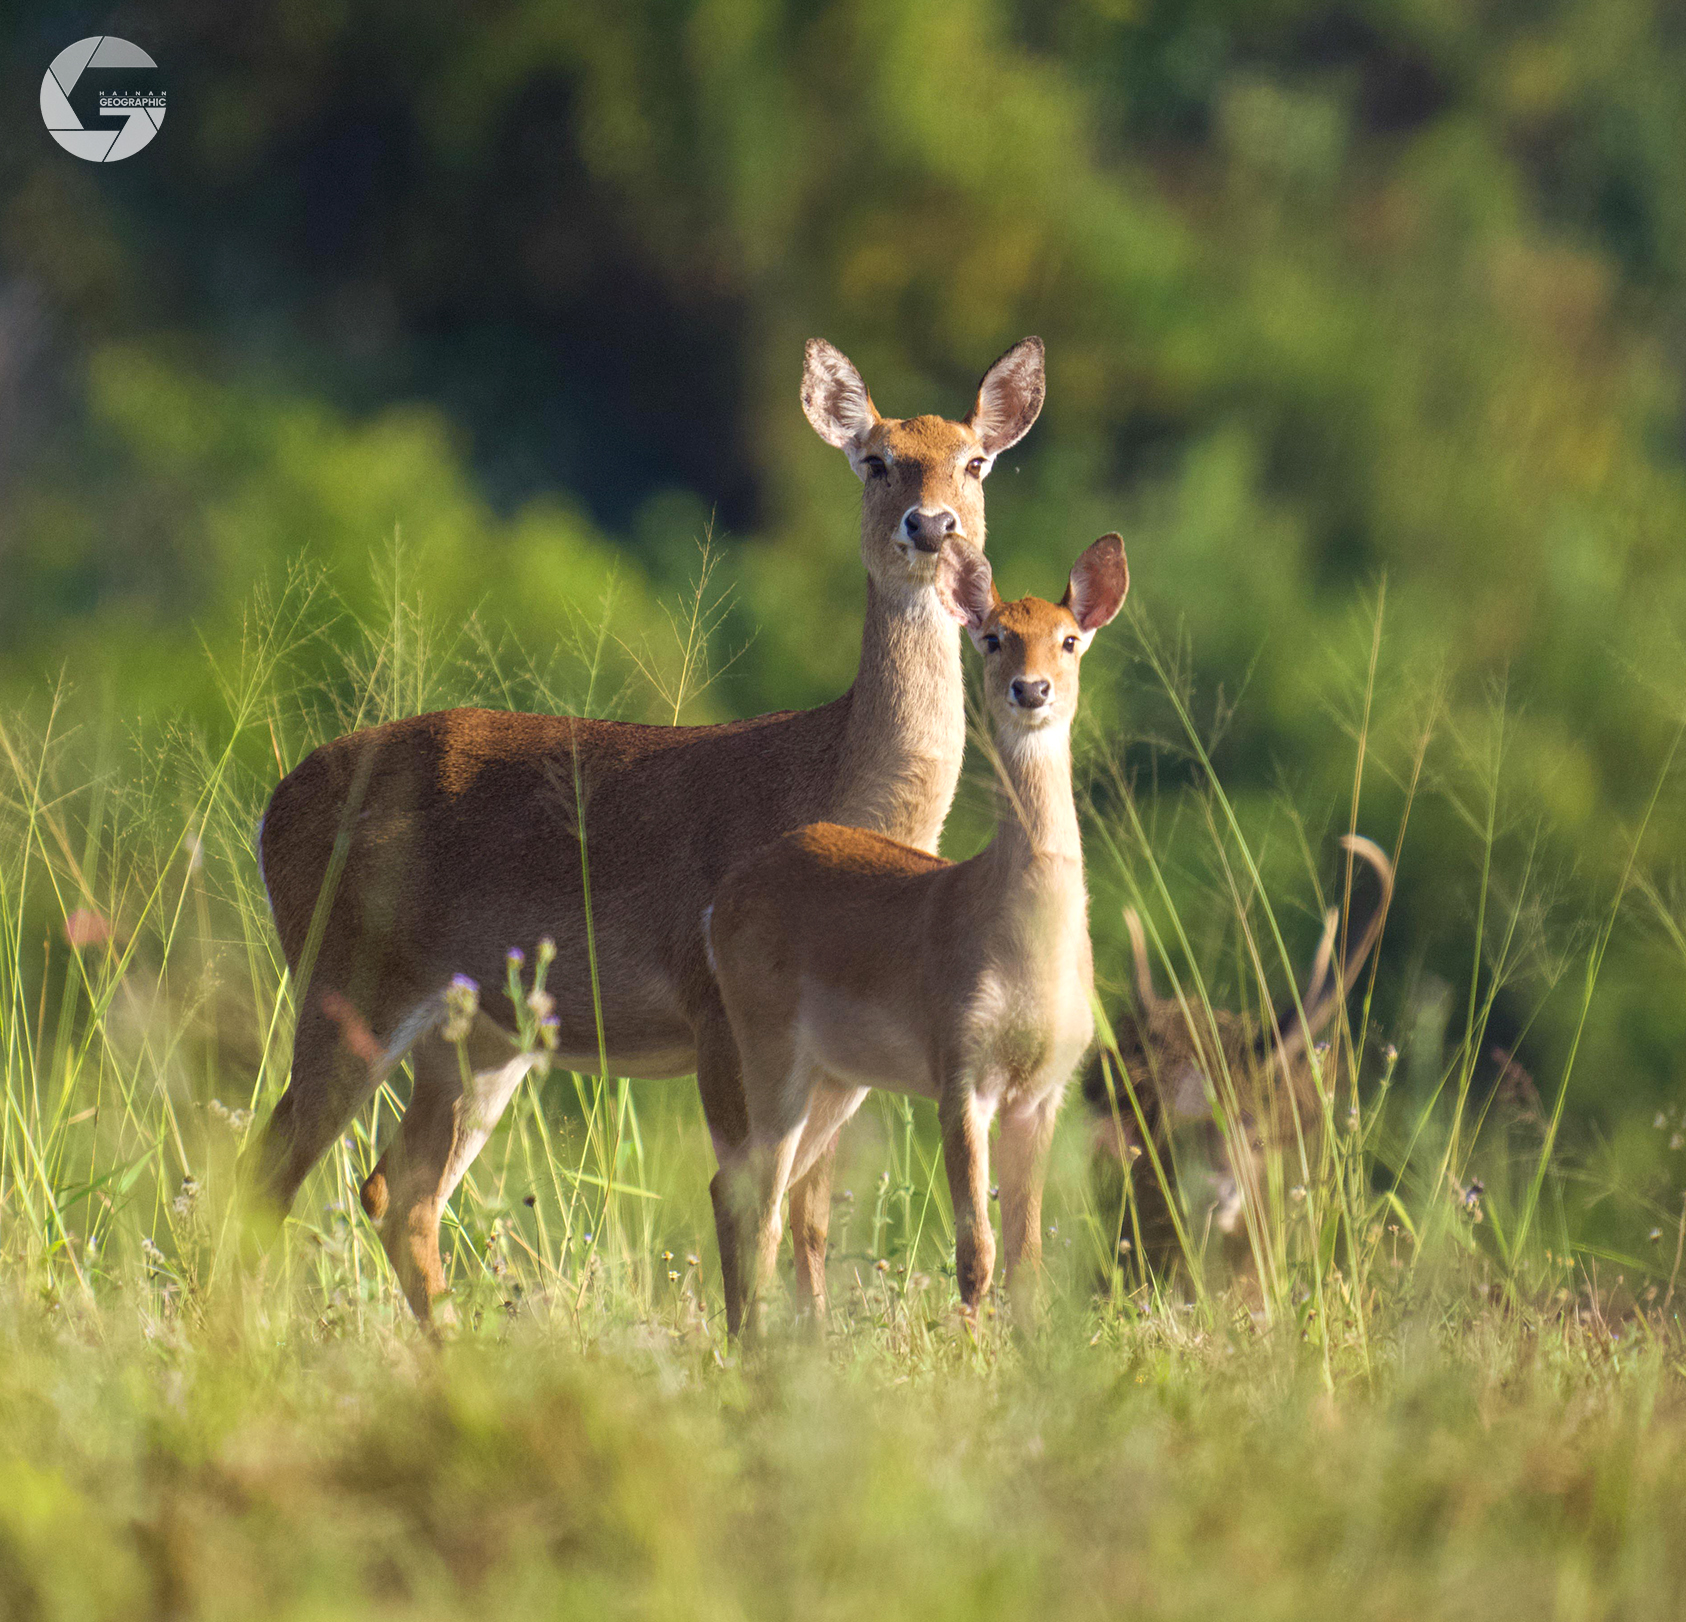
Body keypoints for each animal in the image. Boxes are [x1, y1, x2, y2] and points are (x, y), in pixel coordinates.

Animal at [244, 336, 1047, 1334]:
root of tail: (273, 806)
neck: (830, 786)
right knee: (268, 1173)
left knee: (398, 1191)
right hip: (344, 978)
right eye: (875, 459)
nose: (931, 526)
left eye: (975, 462)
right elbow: (745, 1204)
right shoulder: (715, 1007)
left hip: (479, 1037)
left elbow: (812, 1221)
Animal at [707, 534, 1130, 1326]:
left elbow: (1027, 1262)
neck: (1027, 947)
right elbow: (975, 1257)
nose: (1031, 689)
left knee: (759, 1192)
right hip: (770, 1045)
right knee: (755, 1197)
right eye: (993, 637)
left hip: (837, 1076)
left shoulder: (1044, 1091)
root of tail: (720, 903)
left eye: (1069, 639)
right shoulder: (958, 1065)